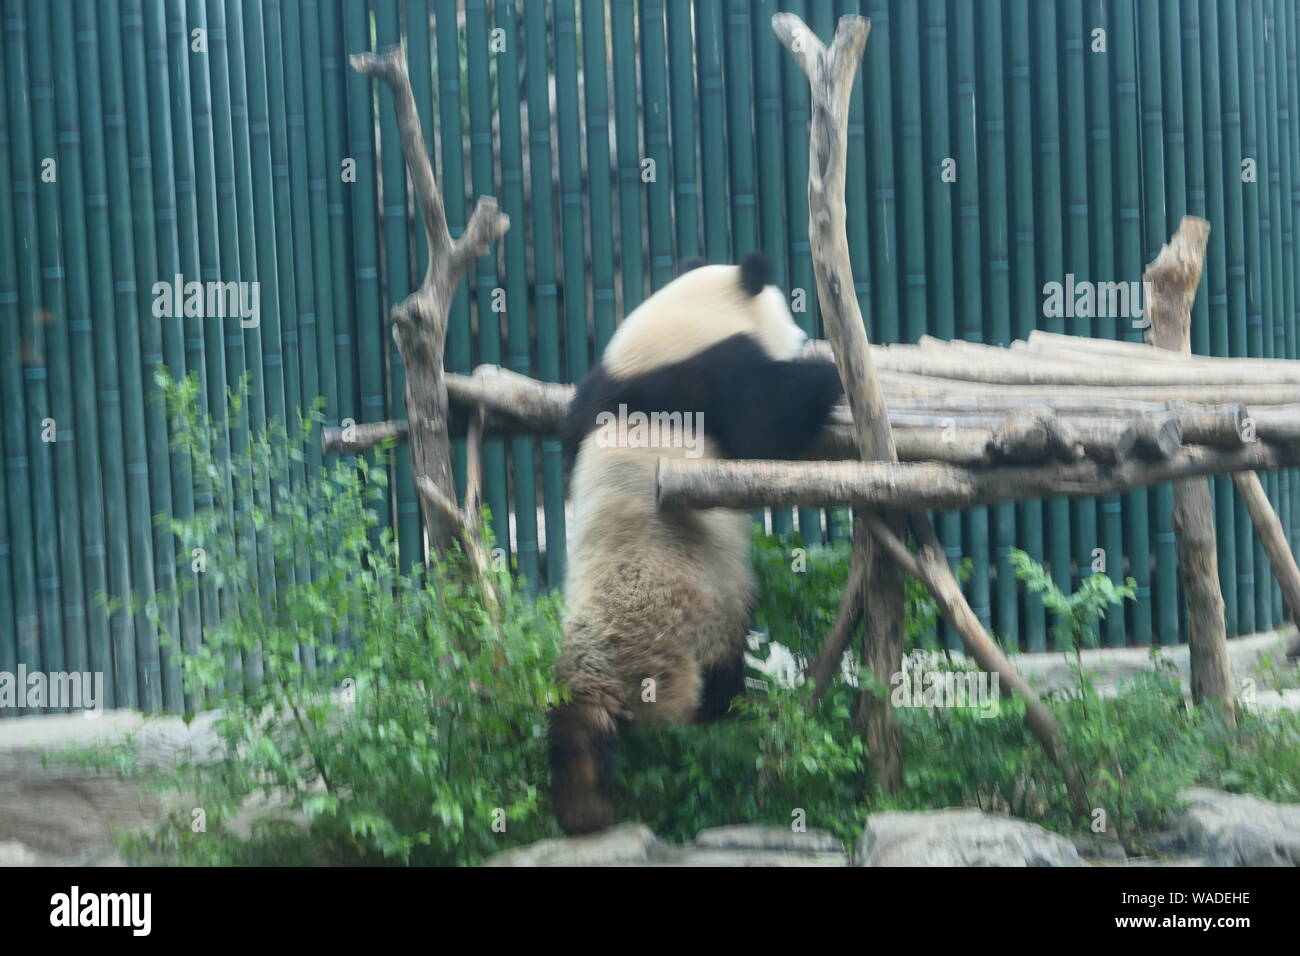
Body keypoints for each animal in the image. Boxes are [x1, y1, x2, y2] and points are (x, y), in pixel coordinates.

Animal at [549, 252, 843, 835]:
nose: (803, 337)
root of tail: (602, 670)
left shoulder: (589, 395)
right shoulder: (707, 378)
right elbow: (763, 430)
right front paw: (826, 369)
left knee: (574, 736)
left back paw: (583, 808)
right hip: (691, 624)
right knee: (713, 681)